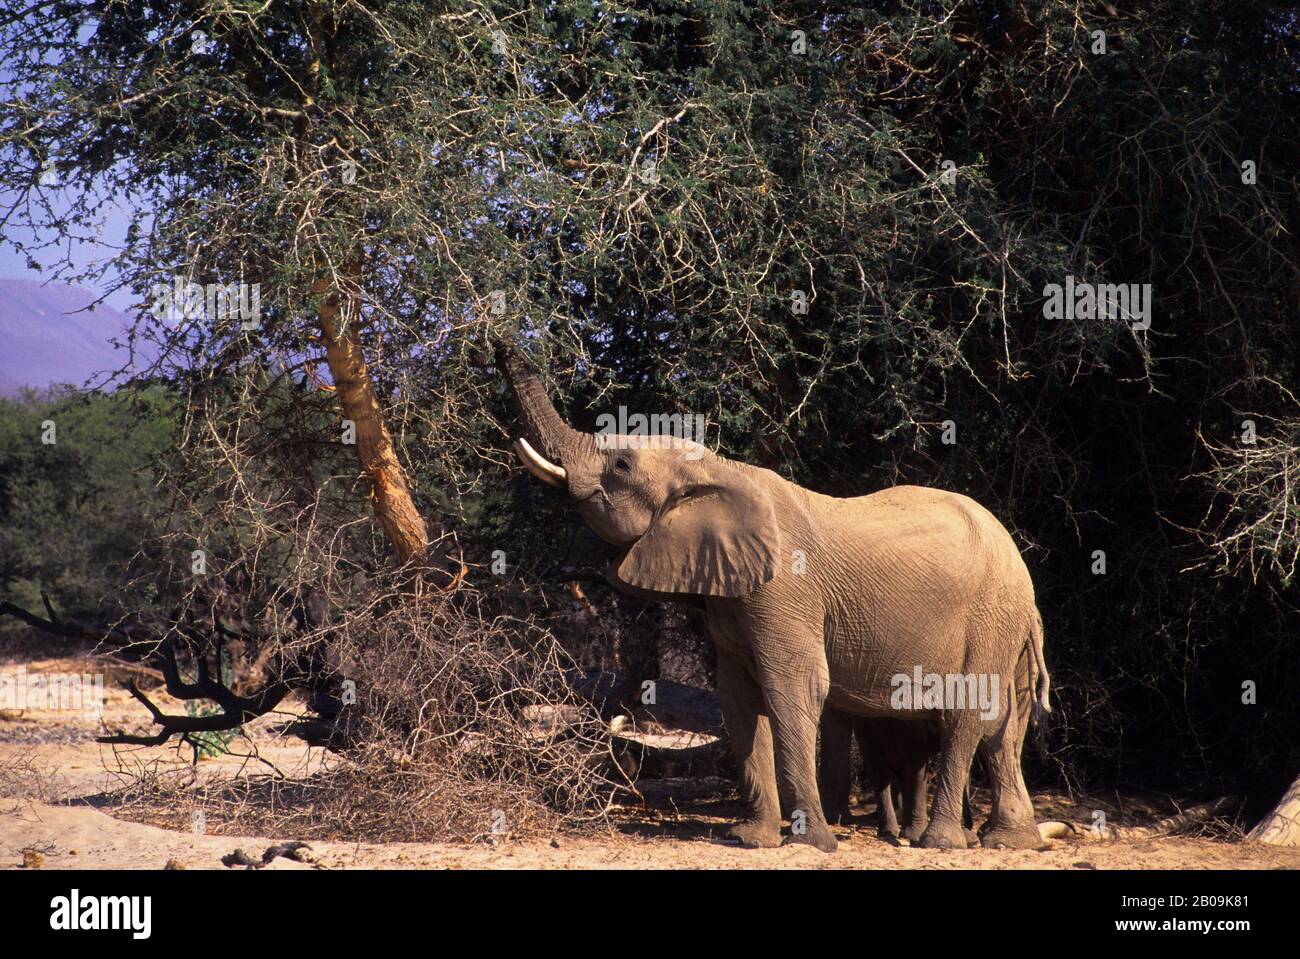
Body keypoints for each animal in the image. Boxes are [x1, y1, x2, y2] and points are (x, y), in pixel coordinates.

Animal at [497, 344, 1050, 852]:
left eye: (622, 464)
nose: (511, 344)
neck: (719, 470)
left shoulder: (784, 589)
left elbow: (795, 685)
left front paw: (813, 844)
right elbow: (738, 697)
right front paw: (751, 838)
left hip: (991, 616)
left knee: (966, 714)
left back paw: (941, 843)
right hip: (1004, 622)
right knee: (1002, 728)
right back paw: (1008, 842)